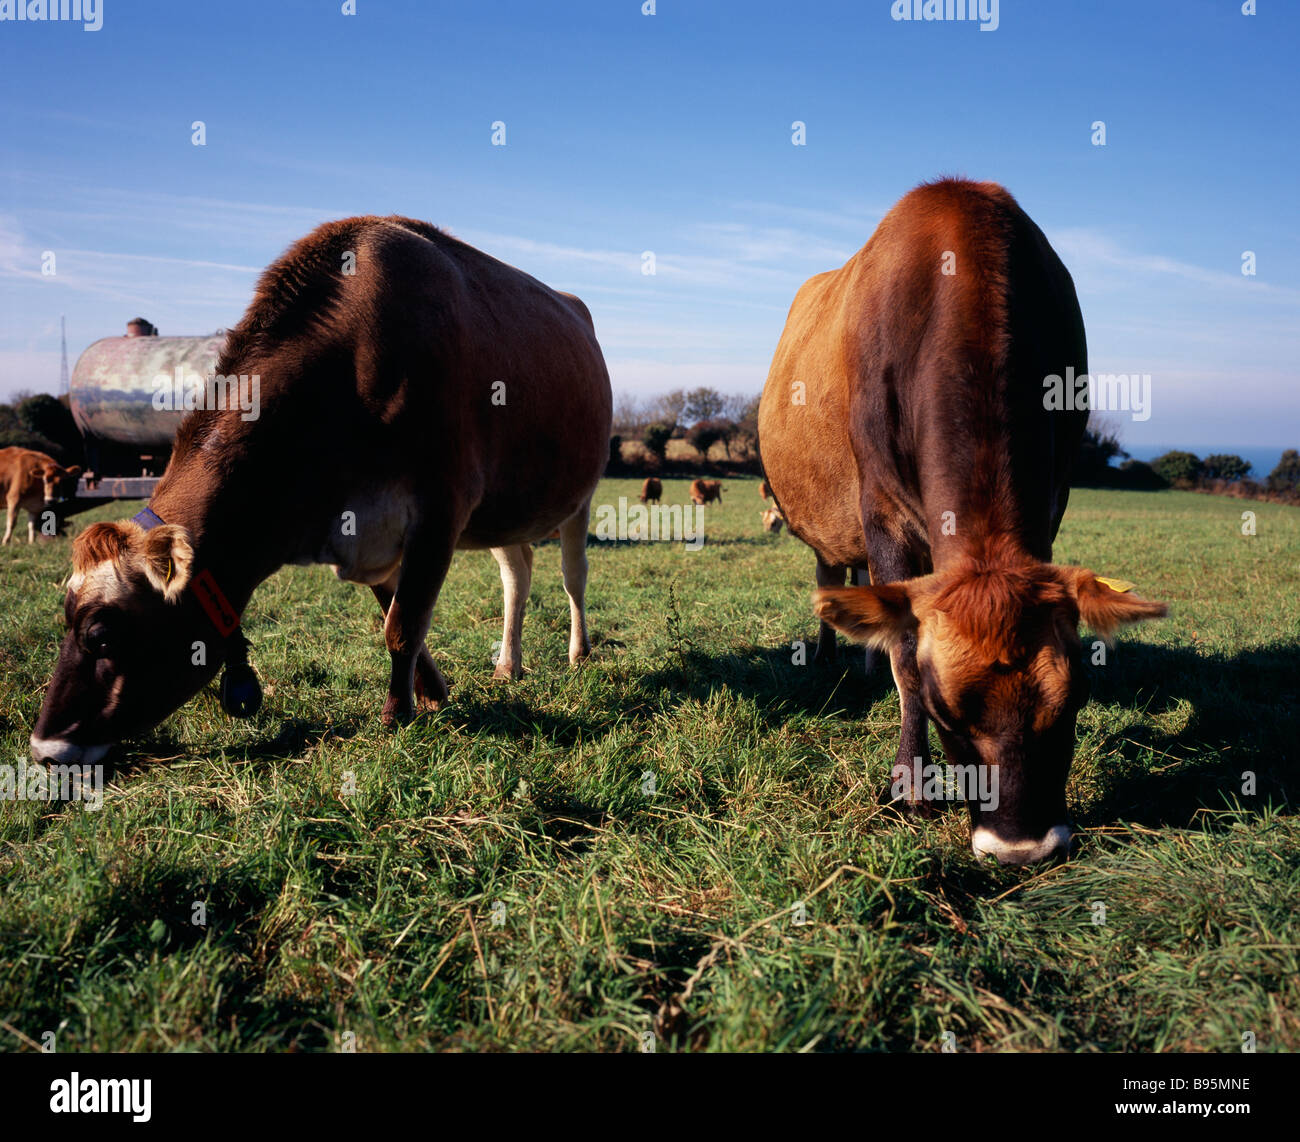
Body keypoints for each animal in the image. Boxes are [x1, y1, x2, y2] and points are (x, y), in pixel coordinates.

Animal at [30, 215, 612, 768]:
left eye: (102, 634)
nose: (44, 748)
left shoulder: (440, 508)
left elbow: (403, 625)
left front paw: (397, 717)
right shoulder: (372, 532)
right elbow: (398, 615)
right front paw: (431, 694)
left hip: (580, 497)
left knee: (573, 576)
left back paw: (579, 652)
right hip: (503, 511)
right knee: (517, 575)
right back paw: (508, 665)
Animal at [758, 179, 1166, 865]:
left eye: (1073, 701)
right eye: (945, 713)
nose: (1022, 848)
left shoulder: (1051, 504)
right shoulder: (882, 512)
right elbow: (902, 650)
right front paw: (910, 783)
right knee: (834, 575)